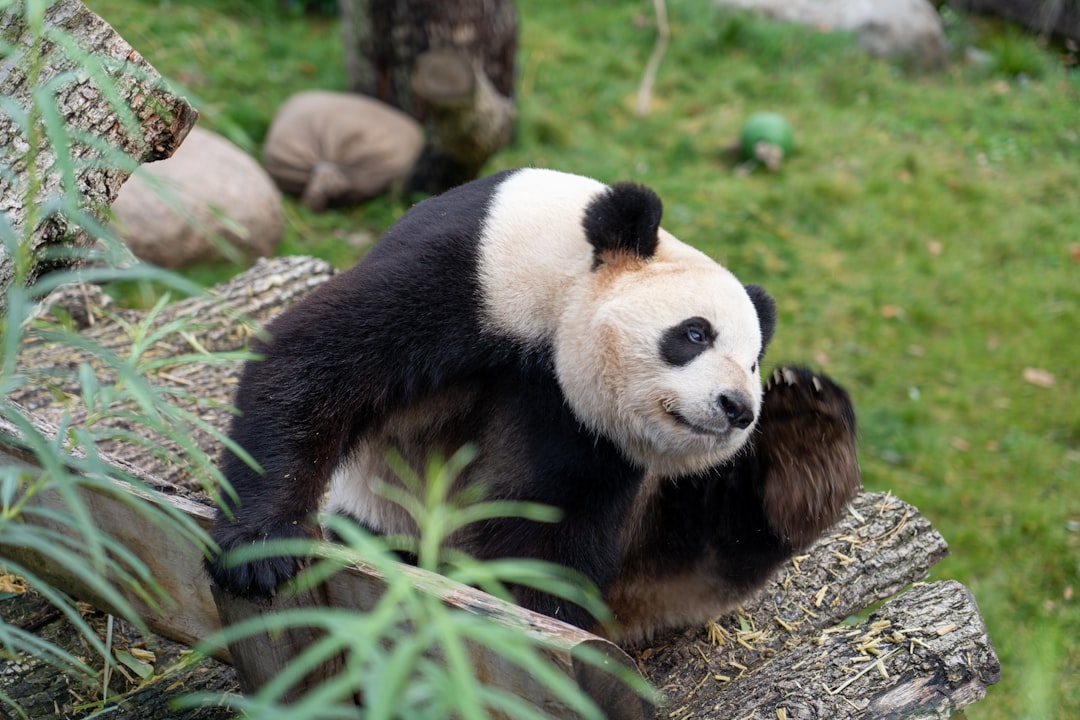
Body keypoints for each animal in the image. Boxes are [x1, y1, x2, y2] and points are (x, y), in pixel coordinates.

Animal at [206, 168, 861, 643]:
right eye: (695, 333)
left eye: (752, 362)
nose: (737, 408)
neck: (561, 291)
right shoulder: (470, 272)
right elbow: (318, 359)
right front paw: (260, 553)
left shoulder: (589, 434)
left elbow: (552, 525)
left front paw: (535, 625)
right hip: (381, 511)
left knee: (713, 536)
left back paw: (807, 433)